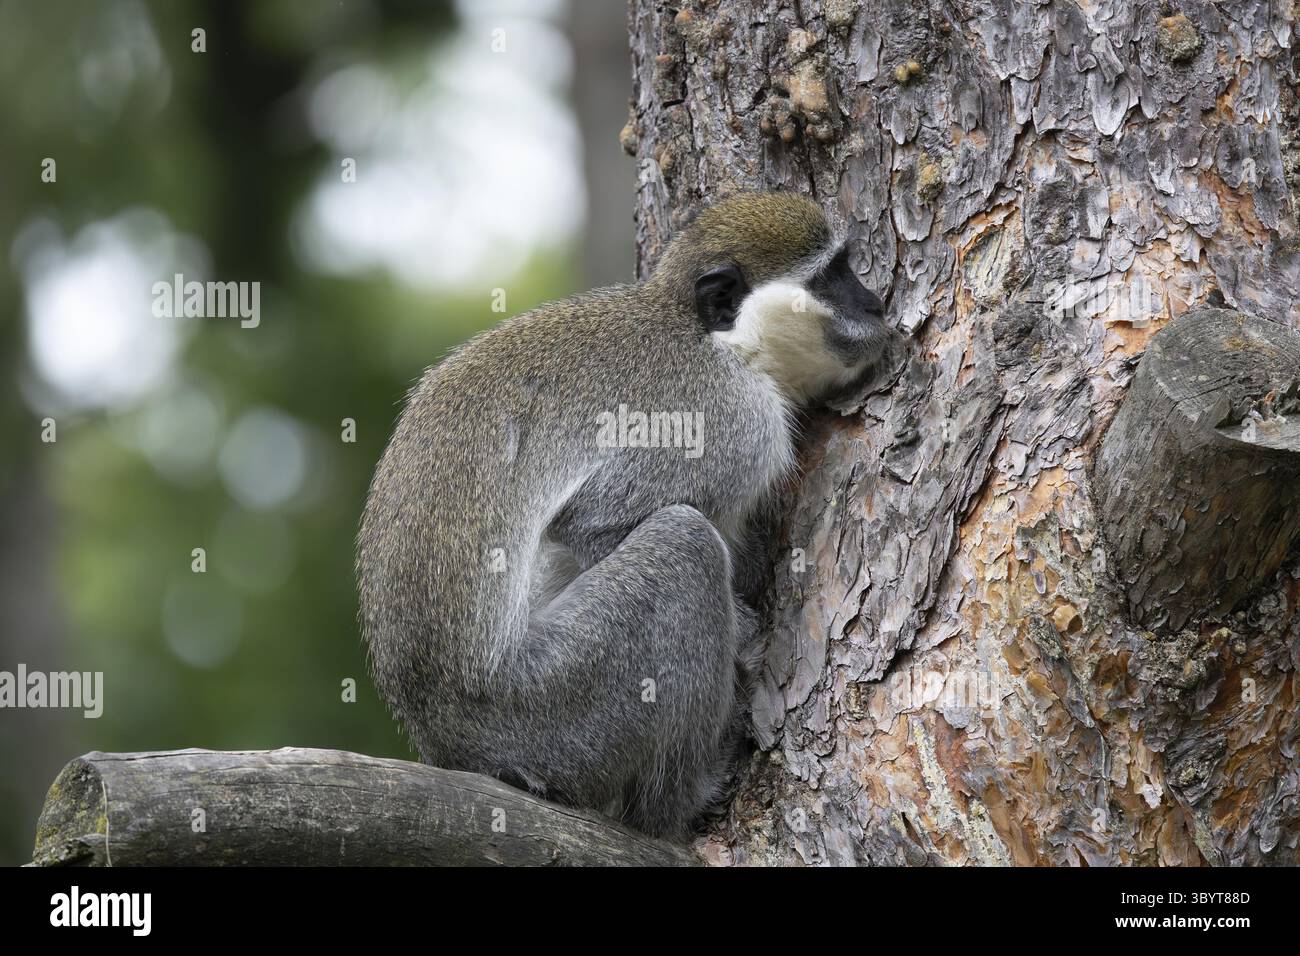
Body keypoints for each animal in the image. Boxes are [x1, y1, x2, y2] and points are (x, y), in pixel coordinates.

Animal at [356, 191, 890, 839]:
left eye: (847, 267)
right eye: (831, 276)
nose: (875, 302)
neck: (715, 340)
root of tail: (451, 745)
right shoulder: (729, 419)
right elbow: (591, 523)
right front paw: (741, 634)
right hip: (552, 707)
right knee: (684, 544)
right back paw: (682, 798)